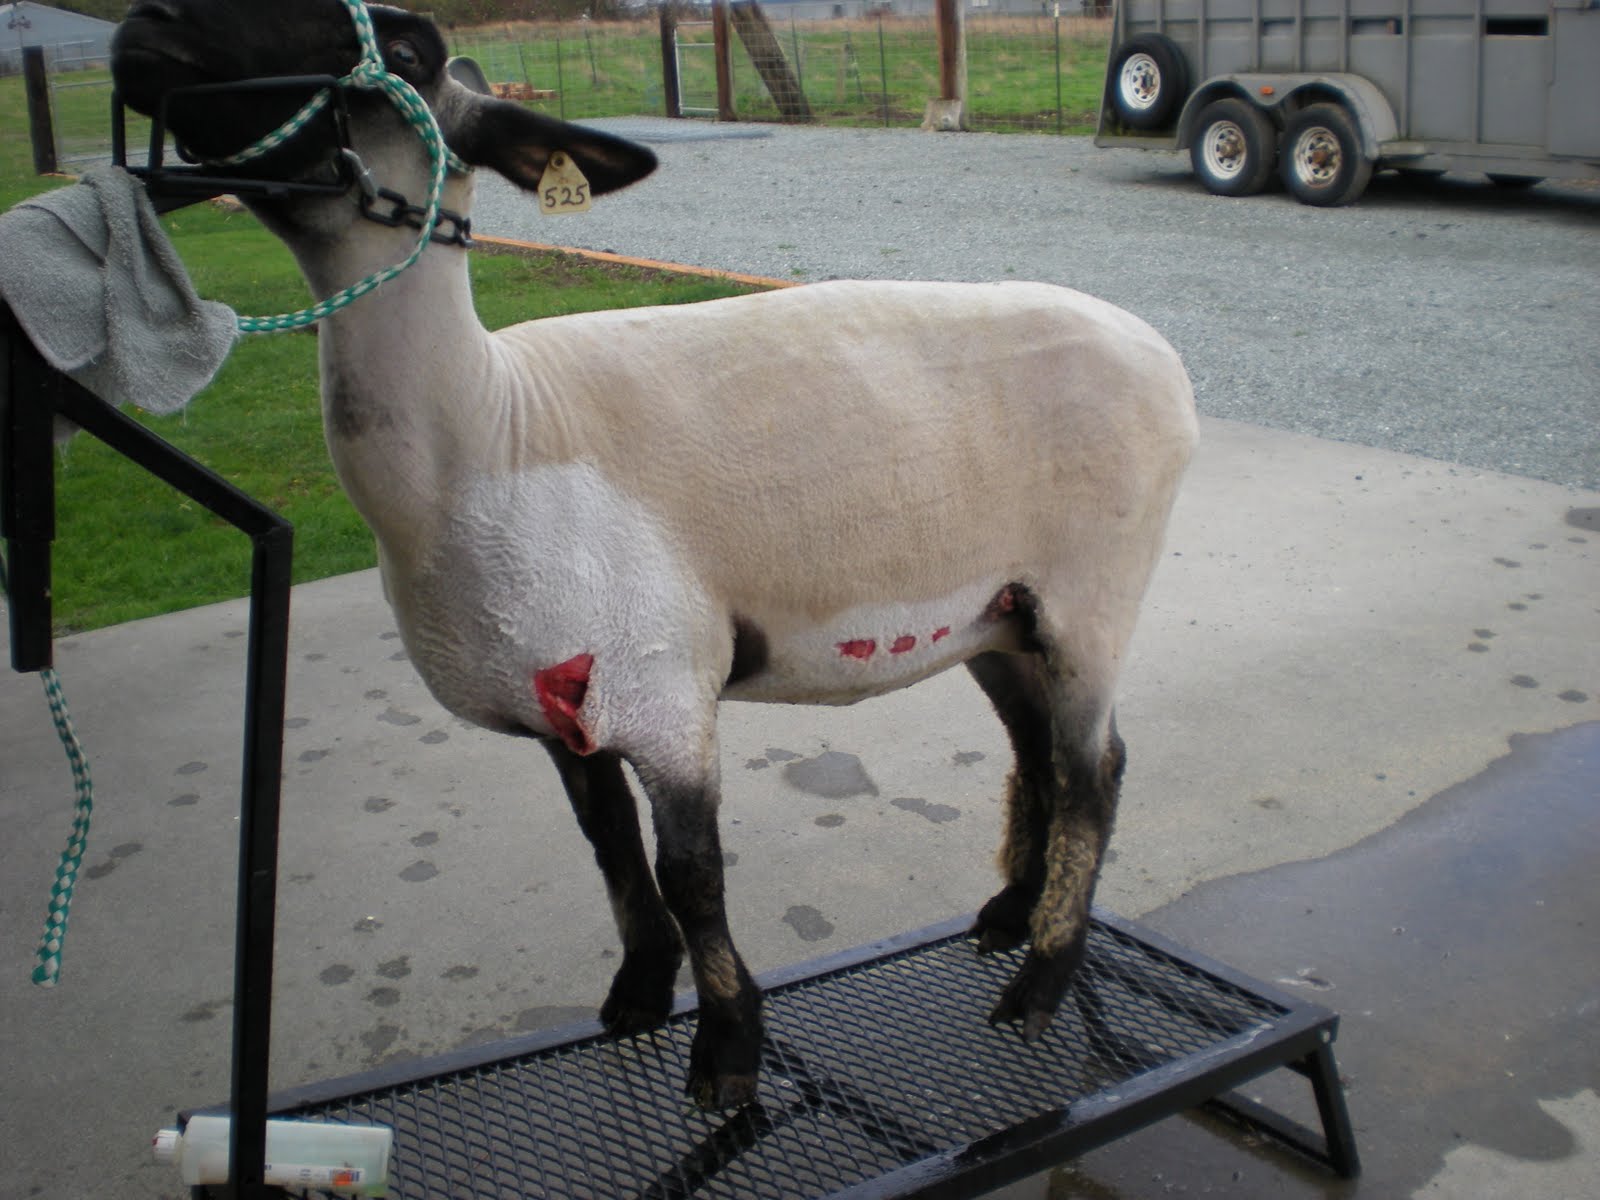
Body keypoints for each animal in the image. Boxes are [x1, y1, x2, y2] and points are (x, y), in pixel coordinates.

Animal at [111, 0, 1198, 1111]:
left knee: (1093, 770)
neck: (483, 432)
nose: (146, 27)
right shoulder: (557, 702)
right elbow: (608, 845)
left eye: (405, 51)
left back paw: (1041, 982)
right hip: (999, 613)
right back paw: (1009, 915)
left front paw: (726, 1050)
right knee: (1038, 750)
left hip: (1092, 596)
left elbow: (692, 871)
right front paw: (638, 990)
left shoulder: (662, 683)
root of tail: (1161, 353)